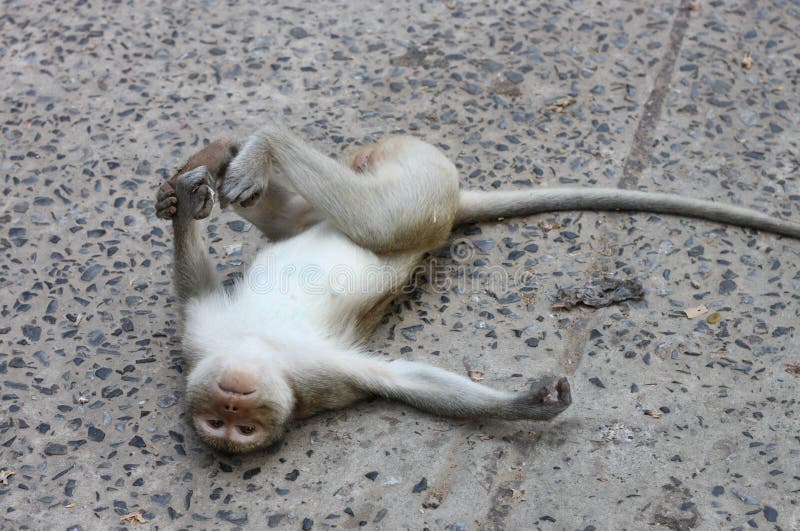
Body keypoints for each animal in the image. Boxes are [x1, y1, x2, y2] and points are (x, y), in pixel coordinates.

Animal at [155, 124, 800, 454]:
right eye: (220, 425)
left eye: (242, 428)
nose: (232, 402)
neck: (257, 352)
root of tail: (455, 206)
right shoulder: (206, 345)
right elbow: (196, 292)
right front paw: (529, 405)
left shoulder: (316, 375)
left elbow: (404, 379)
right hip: (410, 191)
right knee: (300, 218)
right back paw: (219, 165)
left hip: (420, 189)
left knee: (376, 221)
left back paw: (248, 151)